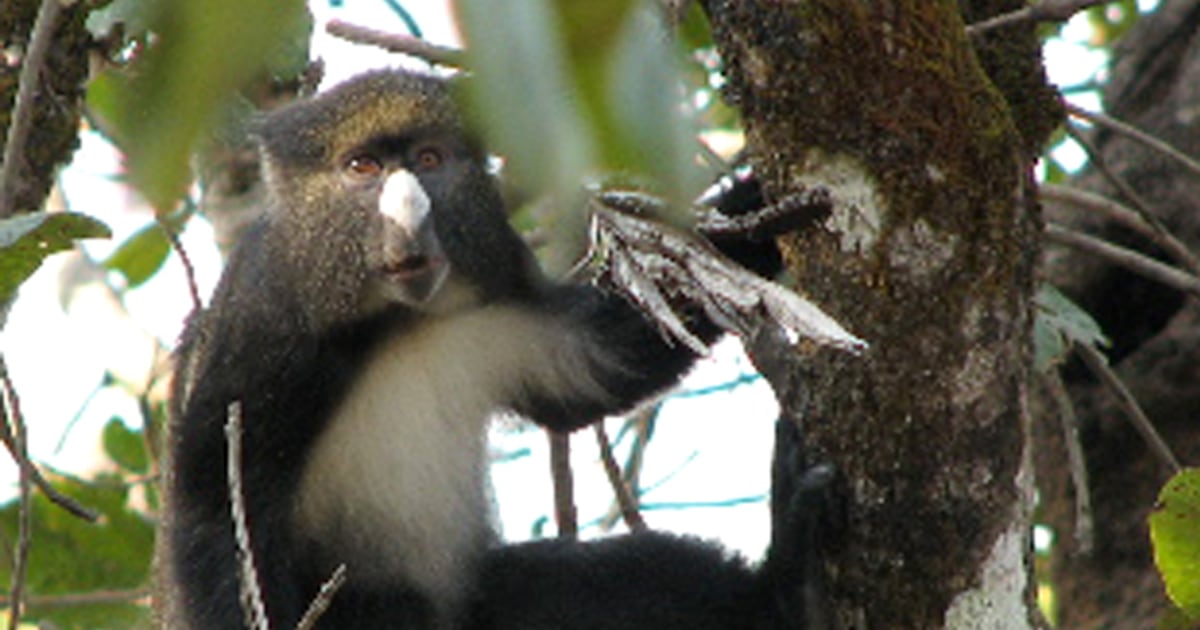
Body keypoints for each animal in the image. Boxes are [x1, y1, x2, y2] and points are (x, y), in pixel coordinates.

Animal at [159, 68, 832, 629]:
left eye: (429, 159)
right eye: (362, 167)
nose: (410, 212)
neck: (398, 323)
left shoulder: (500, 276)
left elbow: (594, 364)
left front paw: (761, 200)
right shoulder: (266, 333)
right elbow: (215, 514)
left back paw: (784, 595)